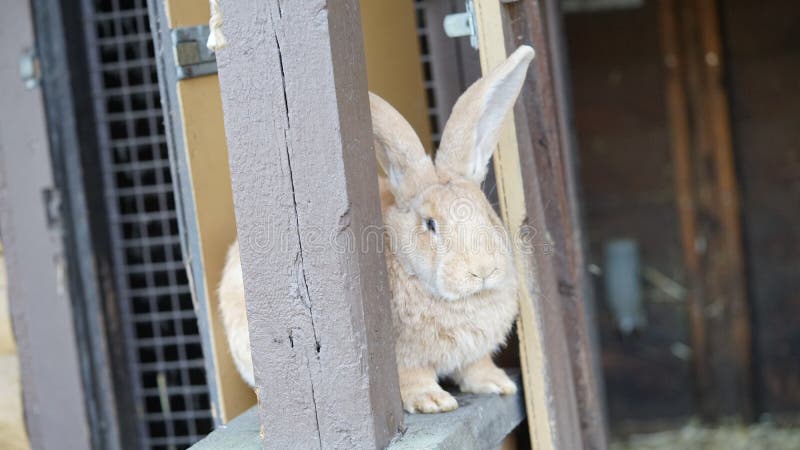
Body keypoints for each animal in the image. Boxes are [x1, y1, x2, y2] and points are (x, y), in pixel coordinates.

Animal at [217, 45, 535, 413]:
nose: (482, 270)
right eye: (430, 224)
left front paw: (498, 385)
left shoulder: (474, 353)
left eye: (486, 211)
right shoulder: (404, 360)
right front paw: (432, 402)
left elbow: (476, 367)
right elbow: (414, 378)